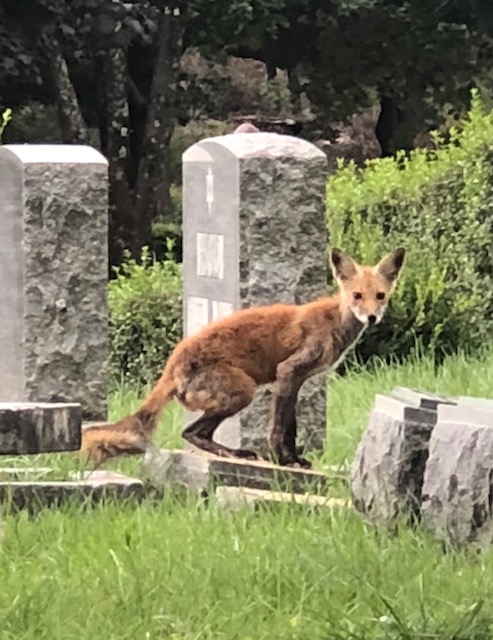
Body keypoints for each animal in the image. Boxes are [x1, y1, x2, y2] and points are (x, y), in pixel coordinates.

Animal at [81, 246, 405, 469]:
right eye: (357, 296)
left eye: (380, 296)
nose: (372, 318)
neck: (334, 323)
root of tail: (172, 364)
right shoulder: (288, 371)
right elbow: (278, 429)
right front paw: (283, 461)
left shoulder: (295, 381)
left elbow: (290, 426)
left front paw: (292, 459)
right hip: (243, 391)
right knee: (190, 432)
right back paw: (233, 453)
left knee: (195, 434)